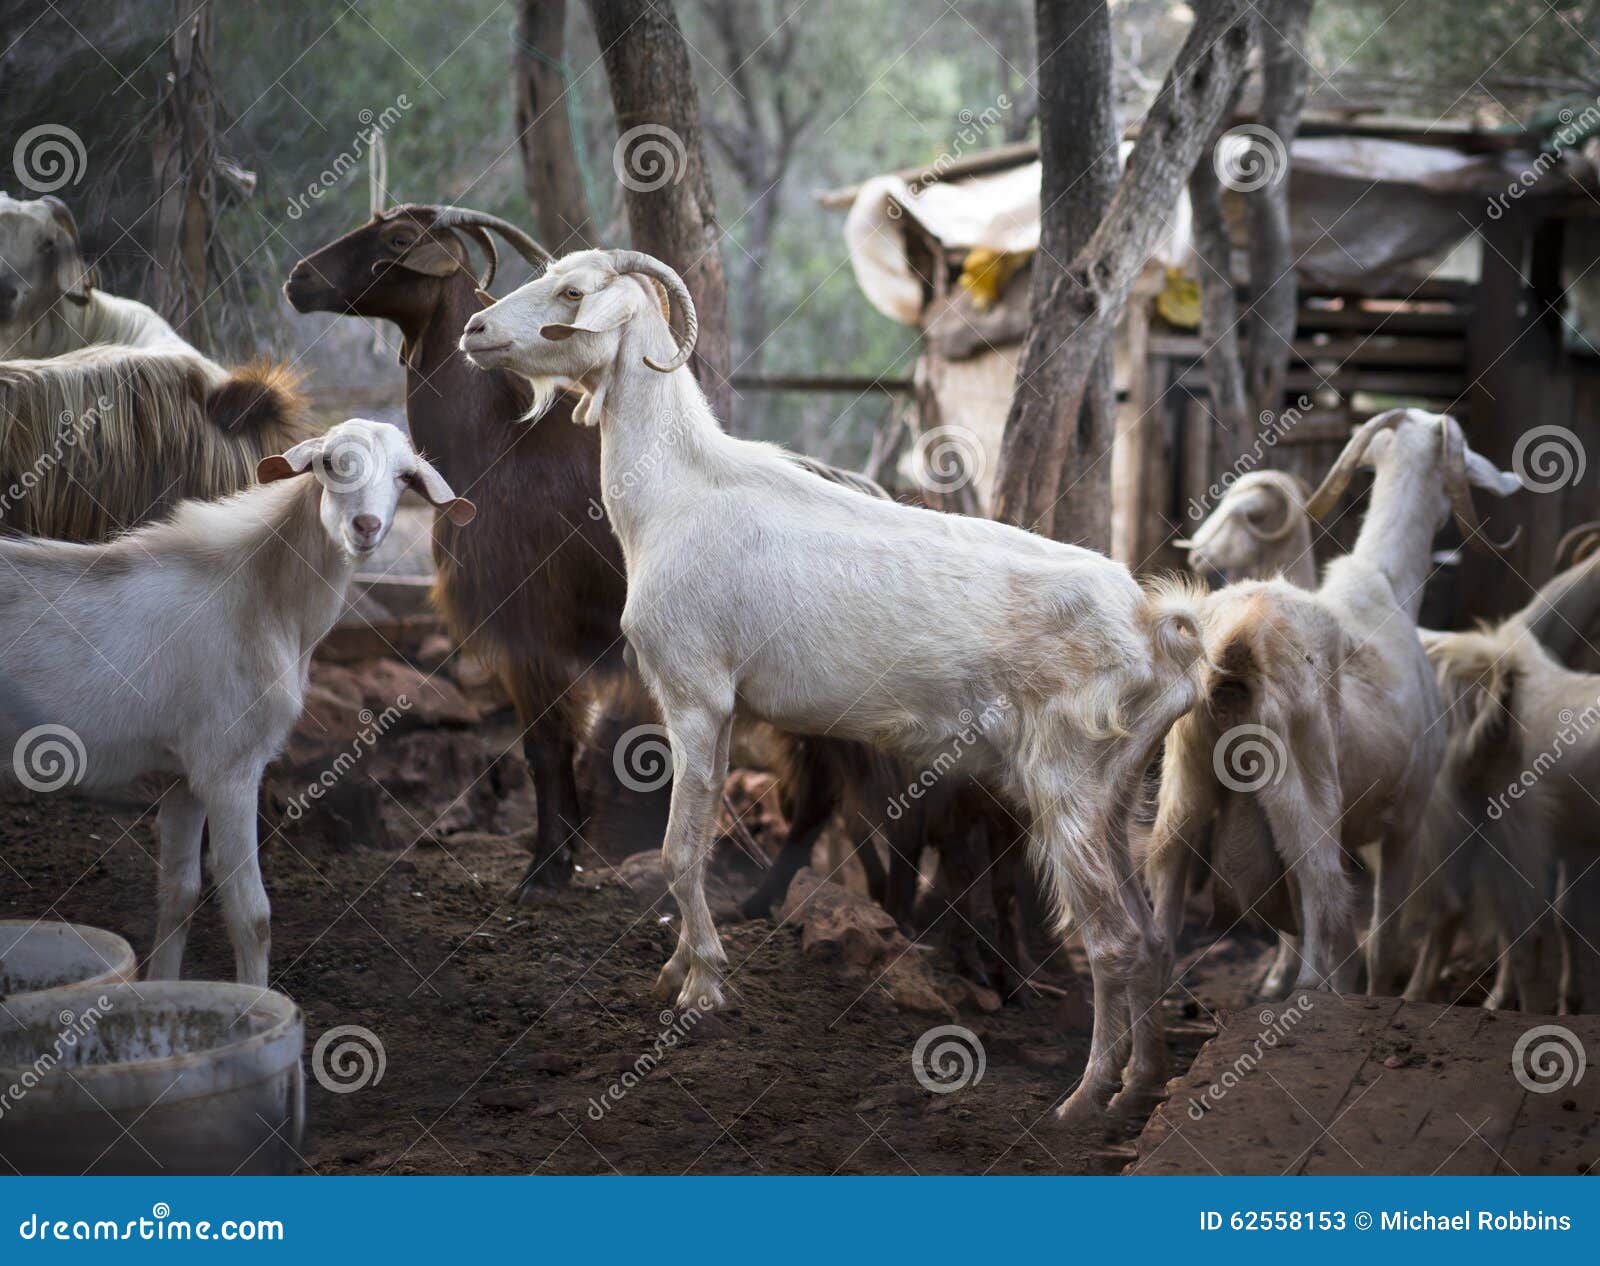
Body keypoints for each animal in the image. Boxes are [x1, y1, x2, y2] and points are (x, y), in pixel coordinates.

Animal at [0, 418, 474, 986]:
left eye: (405, 475)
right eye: (330, 462)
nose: (365, 525)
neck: (262, 598)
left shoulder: (184, 774)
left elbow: (179, 893)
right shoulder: (228, 768)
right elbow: (252, 915)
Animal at [462, 247, 1207, 1122]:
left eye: (573, 292)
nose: (475, 329)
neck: (680, 491)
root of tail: (1155, 628)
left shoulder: (694, 695)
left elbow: (679, 851)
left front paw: (703, 988)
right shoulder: (718, 712)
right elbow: (700, 842)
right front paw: (677, 971)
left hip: (1069, 784)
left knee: (1113, 940)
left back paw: (1085, 1102)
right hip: (1115, 793)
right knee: (1151, 938)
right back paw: (1141, 1087)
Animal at [1146, 408, 1521, 1025]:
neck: (1387, 587)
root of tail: (1237, 639)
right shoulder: (1405, 819)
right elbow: (1385, 936)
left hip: (1184, 786)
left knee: (1158, 929)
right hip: (1305, 790)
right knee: (1323, 915)